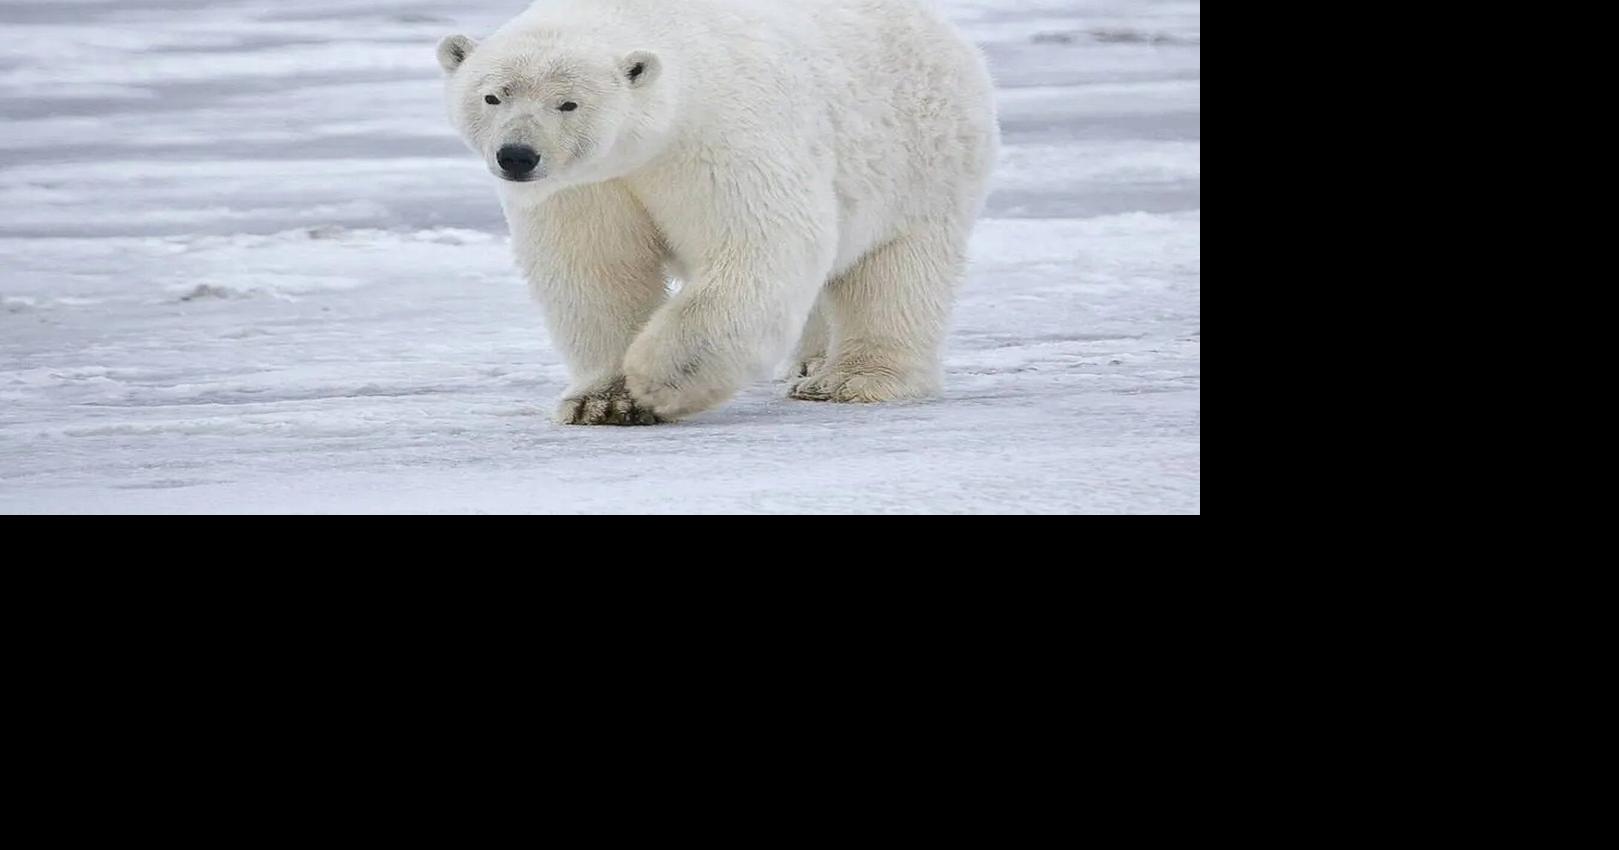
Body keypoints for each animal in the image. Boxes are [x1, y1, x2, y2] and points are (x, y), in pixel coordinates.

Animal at [437, 0, 998, 425]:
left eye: (568, 103)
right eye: (492, 96)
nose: (517, 156)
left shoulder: (720, 135)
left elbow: (760, 245)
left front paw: (655, 381)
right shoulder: (588, 186)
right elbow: (597, 271)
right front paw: (602, 401)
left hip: (920, 157)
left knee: (896, 271)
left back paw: (848, 379)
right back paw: (808, 364)